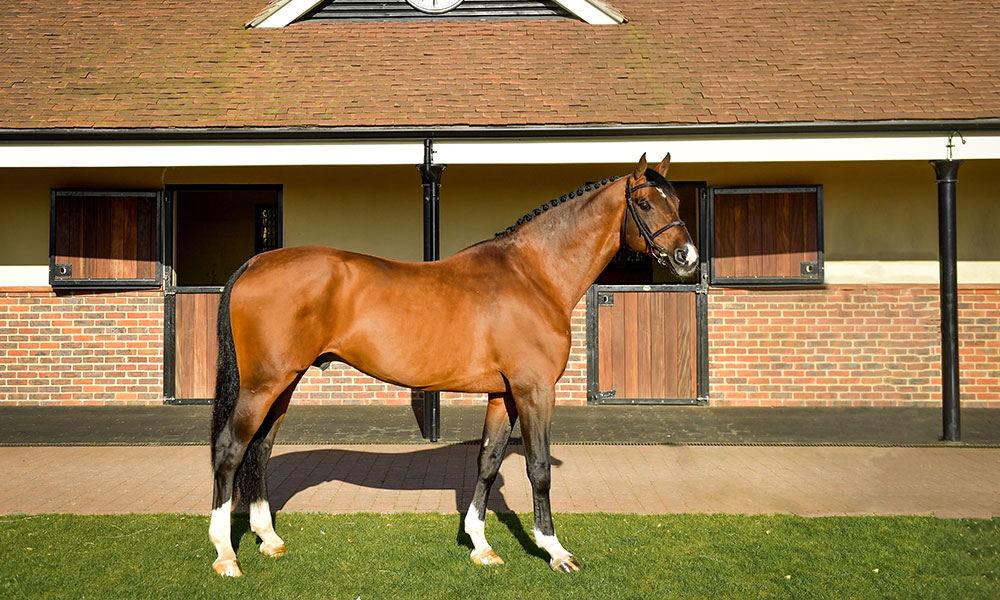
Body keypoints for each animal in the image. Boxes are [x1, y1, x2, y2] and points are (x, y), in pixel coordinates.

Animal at [208, 153, 699, 577]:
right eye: (643, 203)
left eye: (676, 202)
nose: (687, 258)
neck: (533, 275)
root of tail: (255, 262)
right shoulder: (535, 390)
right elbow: (538, 469)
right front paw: (555, 551)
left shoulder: (503, 394)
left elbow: (487, 462)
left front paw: (480, 545)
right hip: (262, 385)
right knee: (231, 450)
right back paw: (226, 555)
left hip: (283, 384)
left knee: (260, 450)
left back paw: (268, 538)